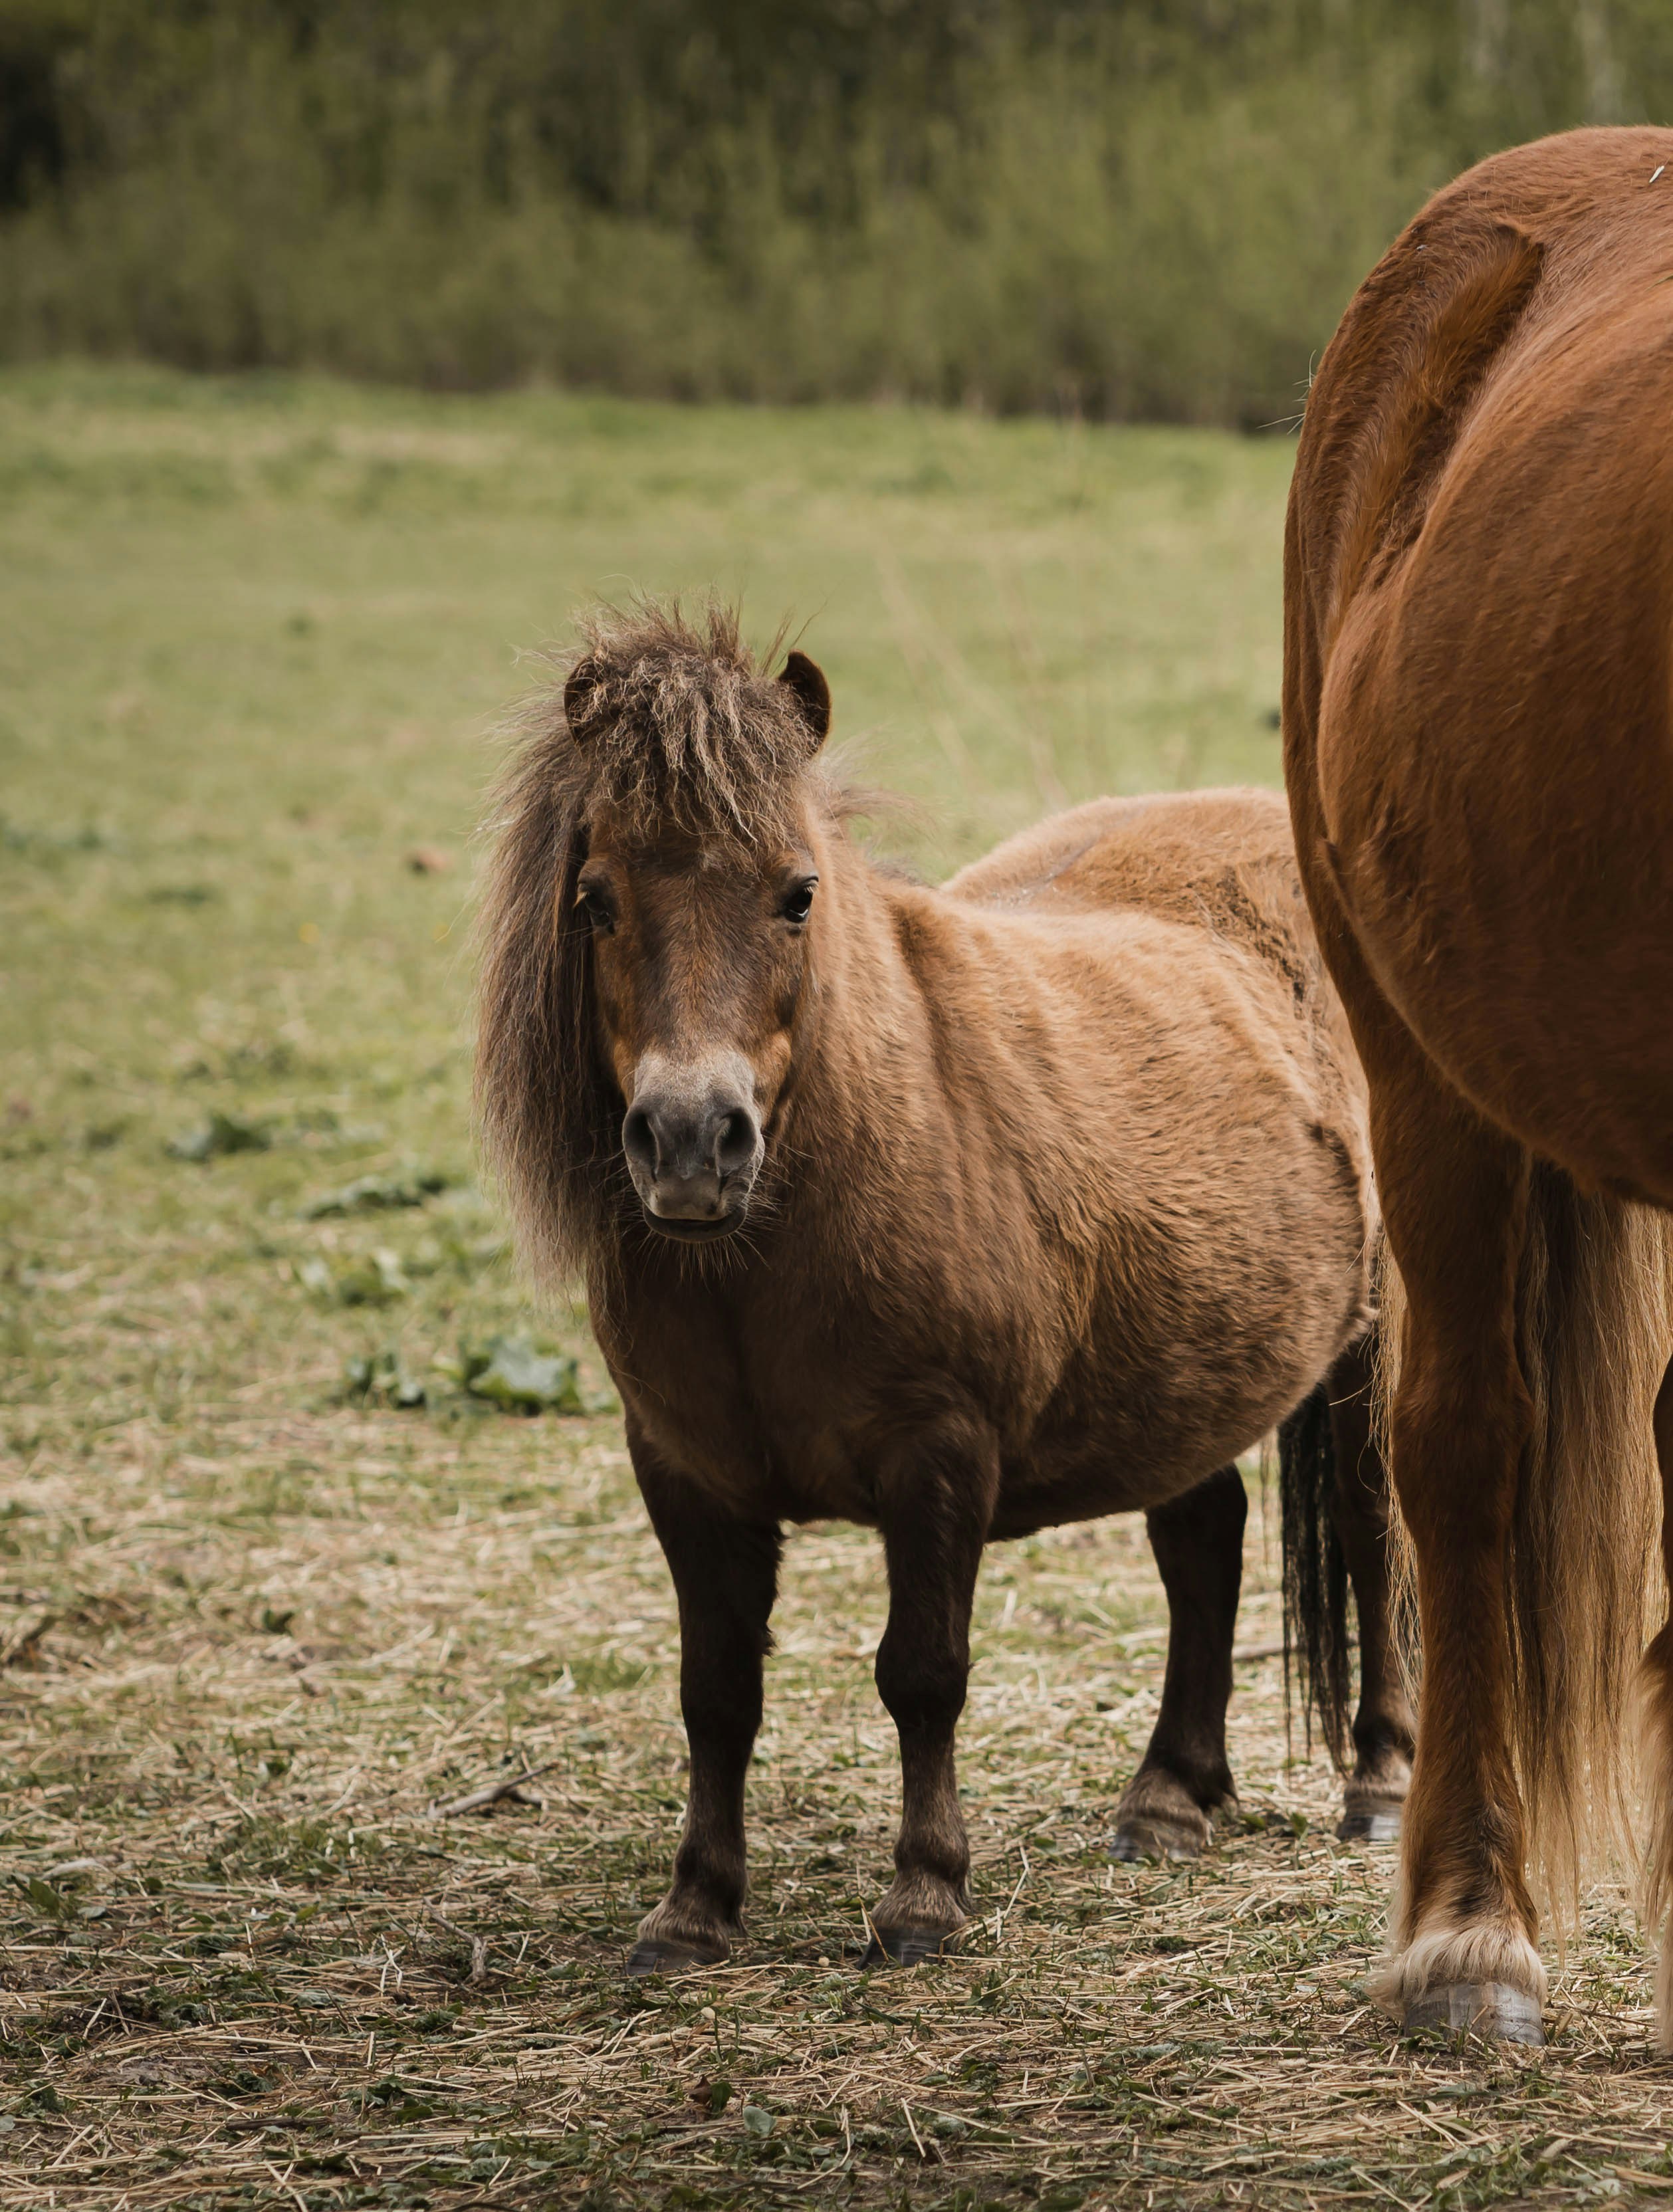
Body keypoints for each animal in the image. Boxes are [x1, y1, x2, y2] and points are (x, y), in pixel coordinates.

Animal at [477, 601, 1409, 1973]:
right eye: (593, 899)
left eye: (797, 892)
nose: (694, 1142)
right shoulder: (687, 1474)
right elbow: (716, 1691)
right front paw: (694, 1905)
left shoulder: (937, 1454)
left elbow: (920, 1671)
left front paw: (922, 1893)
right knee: (1201, 1543)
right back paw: (1169, 1796)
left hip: (1368, 1347)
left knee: (1372, 1528)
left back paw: (1379, 1781)